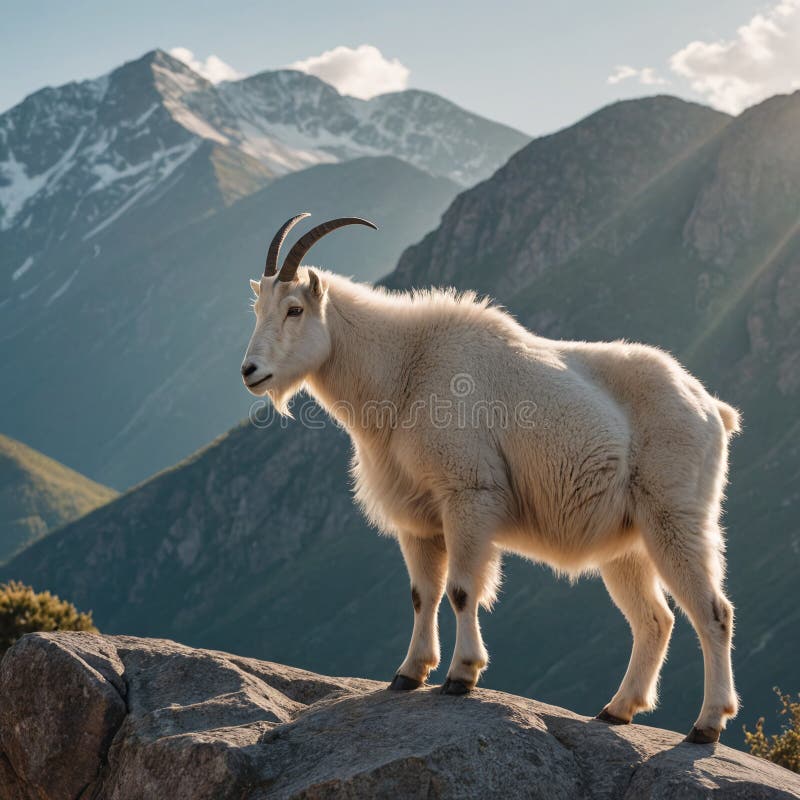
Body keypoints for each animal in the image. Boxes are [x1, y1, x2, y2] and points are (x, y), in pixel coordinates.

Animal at [241, 214, 741, 744]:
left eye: (295, 309)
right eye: (257, 307)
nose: (250, 371)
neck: (405, 369)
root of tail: (713, 409)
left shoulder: (469, 495)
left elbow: (463, 589)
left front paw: (461, 675)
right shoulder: (418, 516)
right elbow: (422, 594)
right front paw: (409, 673)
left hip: (676, 517)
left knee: (714, 612)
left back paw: (707, 723)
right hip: (627, 543)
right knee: (654, 620)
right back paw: (618, 709)